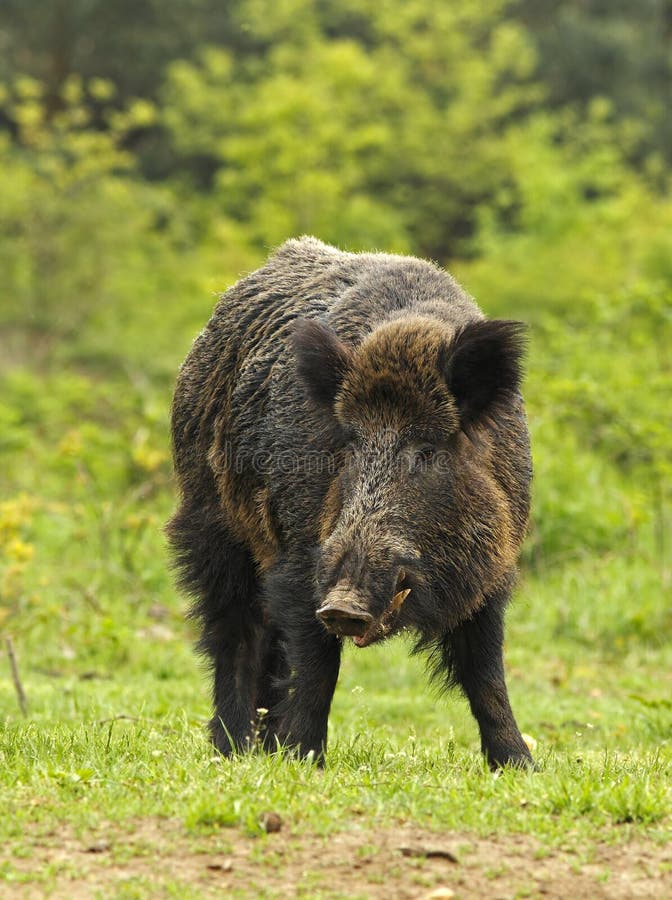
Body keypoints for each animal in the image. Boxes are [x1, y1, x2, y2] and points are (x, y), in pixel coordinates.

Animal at [167, 236, 534, 769]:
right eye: (351, 446)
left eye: (428, 451)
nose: (345, 603)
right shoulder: (303, 555)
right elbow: (316, 665)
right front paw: (304, 760)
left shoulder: (492, 569)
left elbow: (486, 671)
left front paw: (518, 766)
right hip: (212, 524)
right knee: (234, 630)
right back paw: (232, 751)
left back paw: (260, 748)